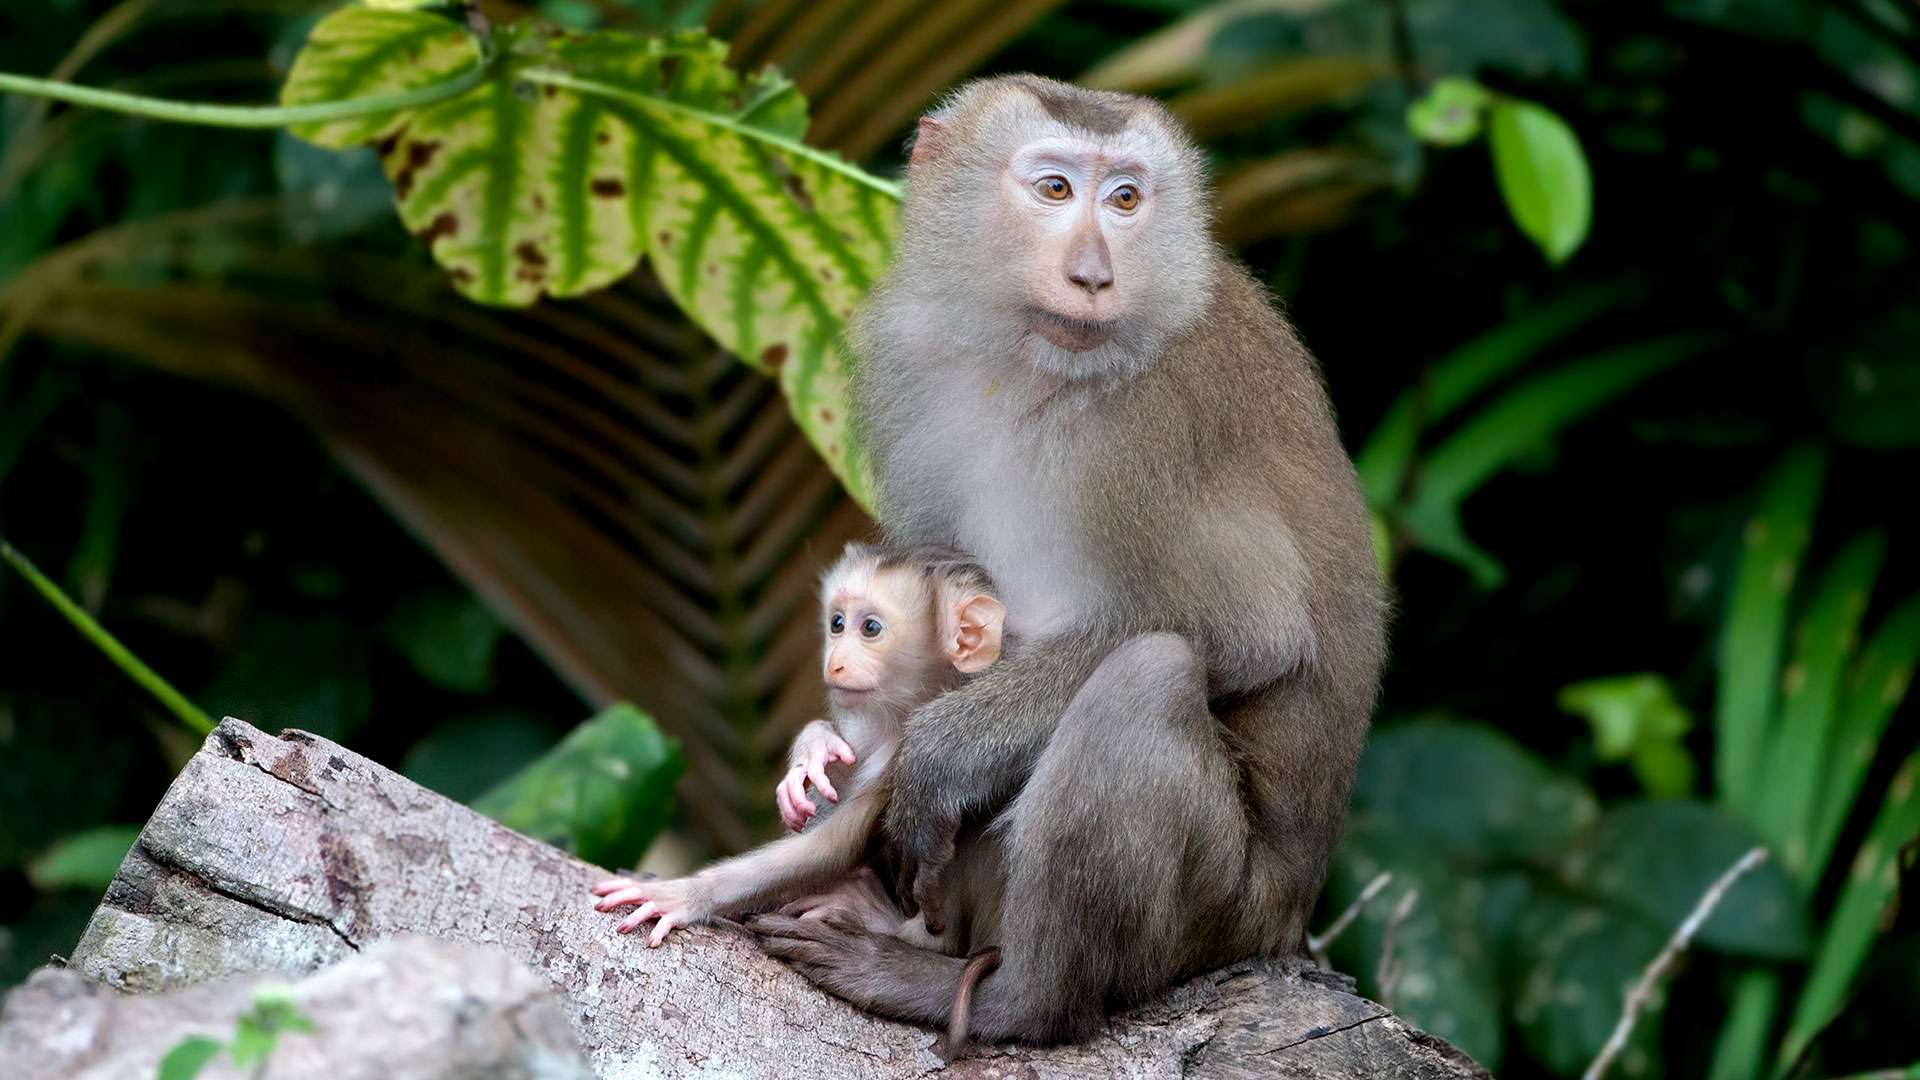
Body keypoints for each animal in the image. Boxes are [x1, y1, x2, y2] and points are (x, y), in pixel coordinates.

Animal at [587, 542, 1008, 949]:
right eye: (837, 623)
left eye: (870, 628)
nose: (835, 662)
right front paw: (814, 749)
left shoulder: (908, 749)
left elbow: (831, 846)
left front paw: (683, 895)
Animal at [746, 74, 1387, 1046]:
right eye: (1055, 189)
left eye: (1124, 199)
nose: (1093, 275)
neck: (1038, 366)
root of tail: (1288, 921)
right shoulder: (914, 362)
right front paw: (832, 749)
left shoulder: (1153, 428)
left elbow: (1251, 634)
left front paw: (937, 756)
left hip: (1219, 911)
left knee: (1147, 677)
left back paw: (1012, 998)